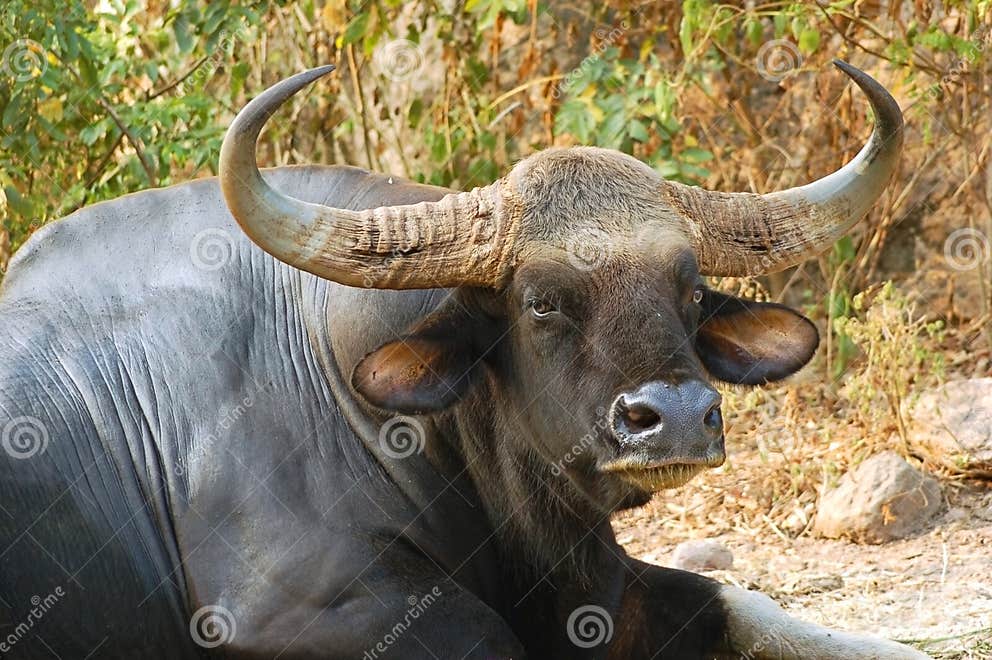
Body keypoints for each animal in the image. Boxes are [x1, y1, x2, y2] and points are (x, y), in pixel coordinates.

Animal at [0, 60, 927, 659]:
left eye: (692, 292)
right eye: (541, 301)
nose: (674, 419)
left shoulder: (597, 584)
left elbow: (747, 604)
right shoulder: (304, 610)